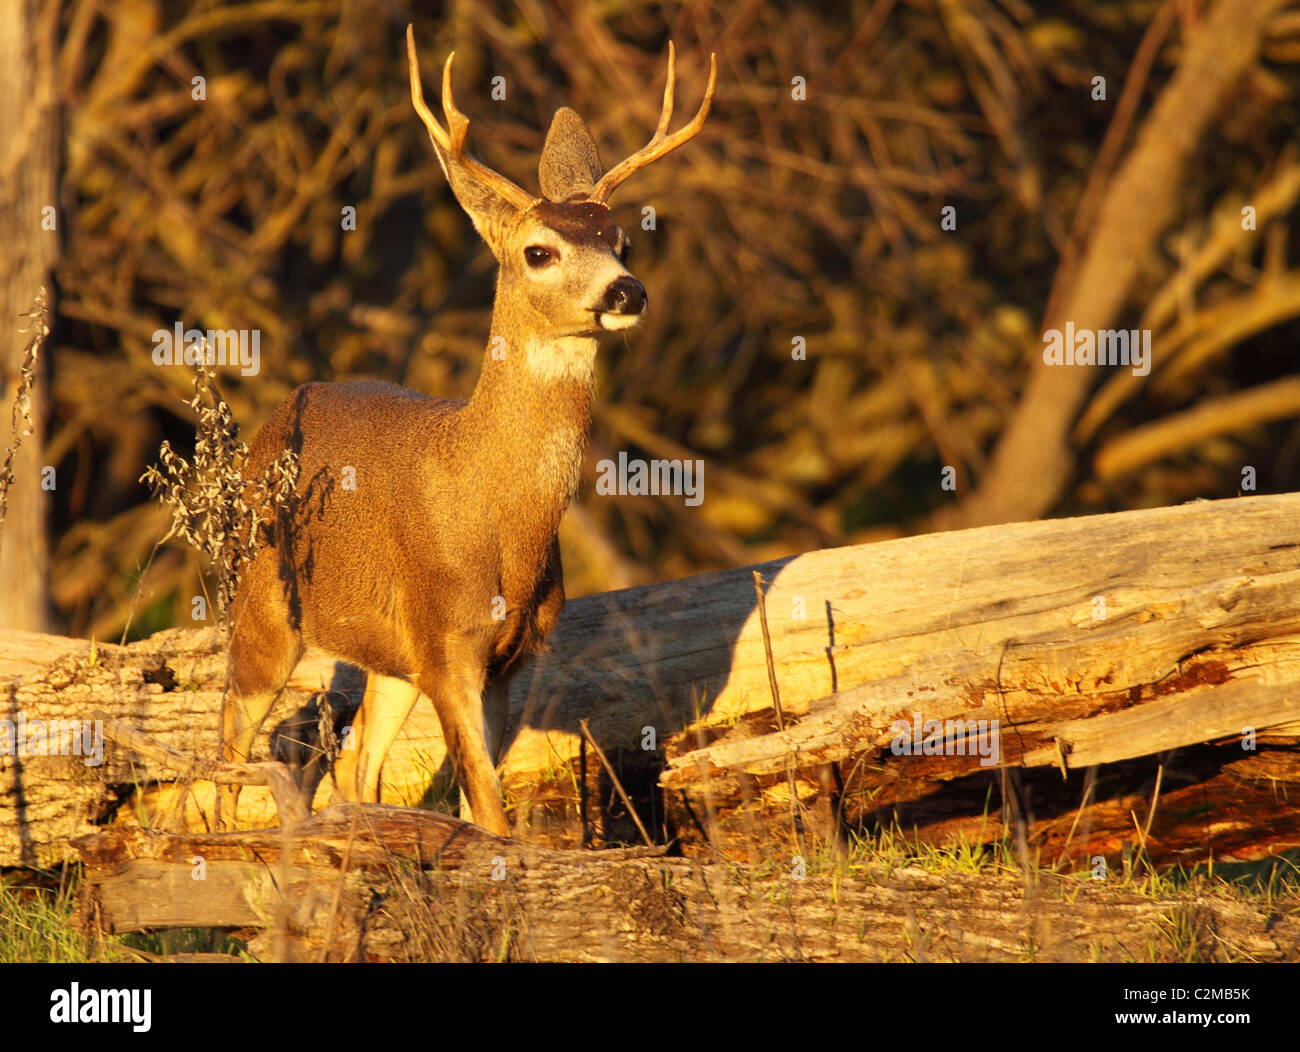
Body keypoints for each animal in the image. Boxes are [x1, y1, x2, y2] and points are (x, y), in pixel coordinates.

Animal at [217, 26, 716, 836]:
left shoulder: (507, 657)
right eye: (539, 251)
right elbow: (489, 809)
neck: (496, 519)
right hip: (262, 601)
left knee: (356, 766)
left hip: (388, 655)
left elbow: (479, 803)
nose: (626, 291)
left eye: (624, 243)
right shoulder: (447, 641)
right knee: (227, 745)